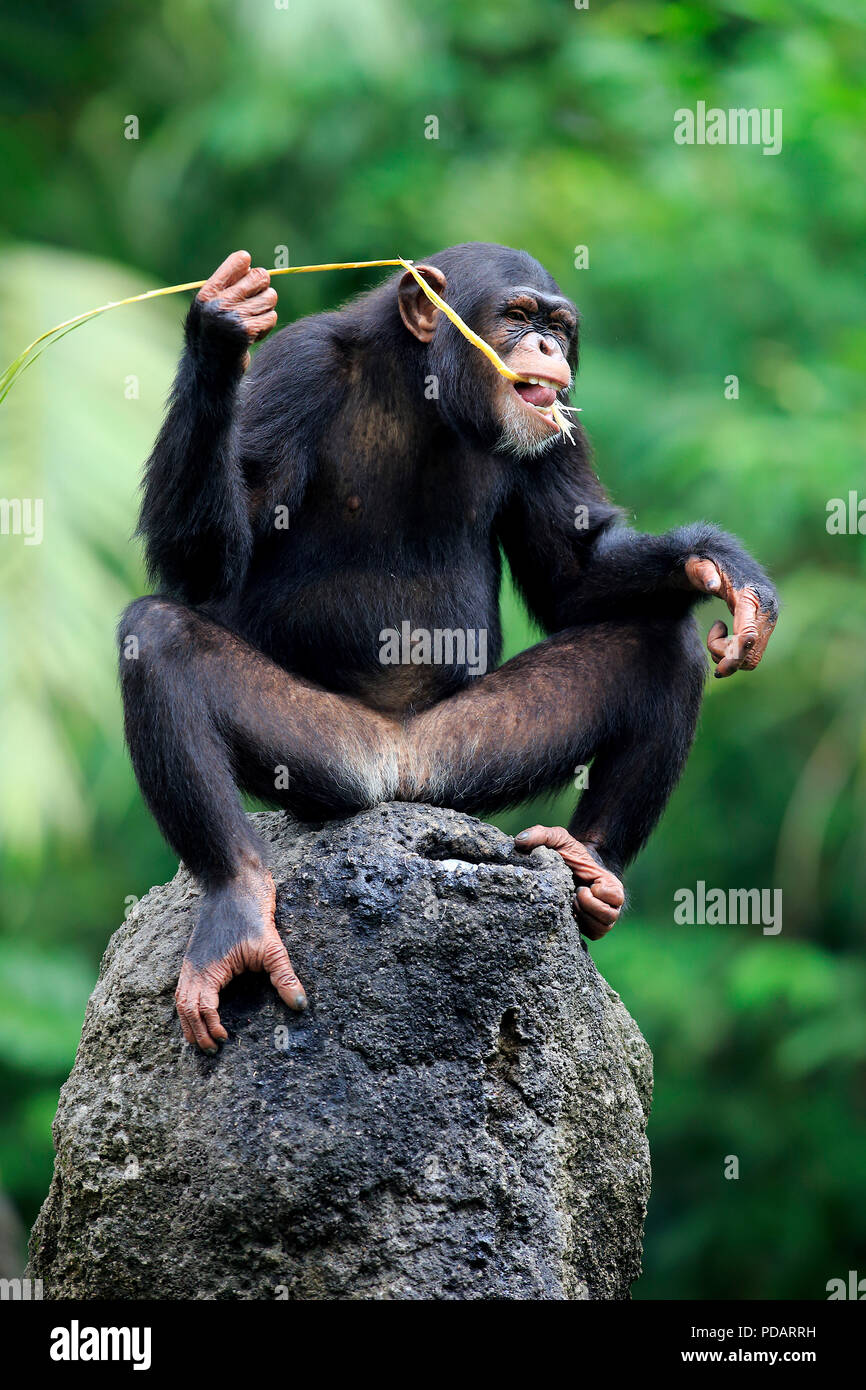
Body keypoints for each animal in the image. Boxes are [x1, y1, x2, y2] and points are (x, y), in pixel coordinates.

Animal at [118, 242, 778, 1053]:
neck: (424, 388)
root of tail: (402, 773)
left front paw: (719, 564)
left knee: (664, 640)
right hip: (325, 755)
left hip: (469, 760)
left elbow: (573, 572)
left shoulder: (555, 424)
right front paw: (221, 327)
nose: (547, 347)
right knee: (159, 636)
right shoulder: (294, 371)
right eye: (518, 316)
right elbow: (207, 566)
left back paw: (588, 864)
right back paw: (237, 903)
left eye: (559, 326)